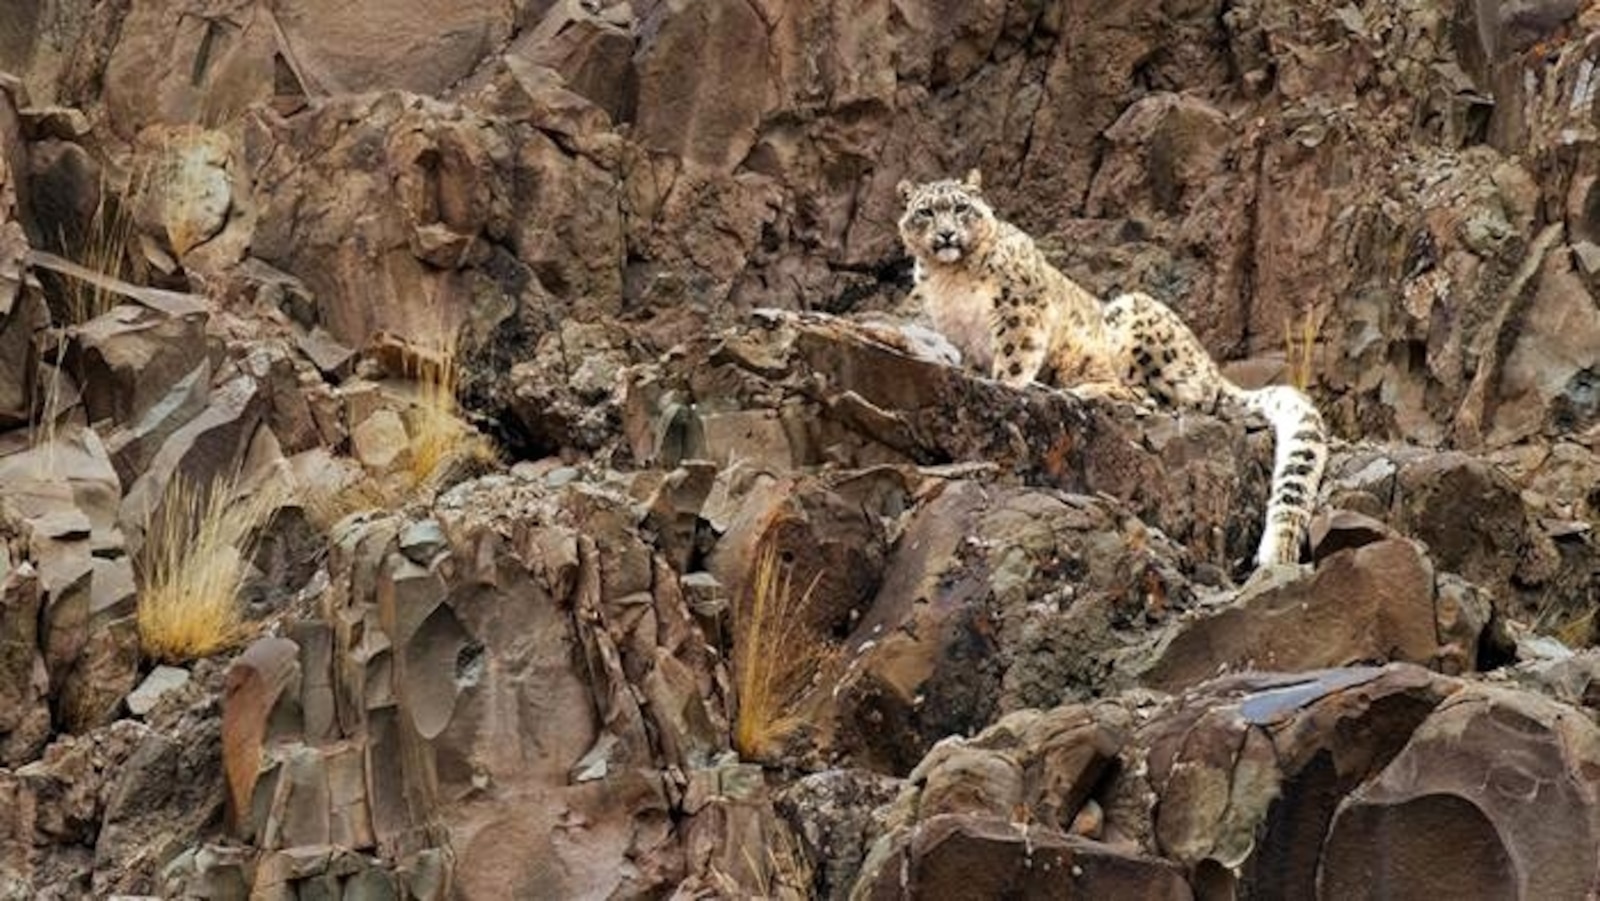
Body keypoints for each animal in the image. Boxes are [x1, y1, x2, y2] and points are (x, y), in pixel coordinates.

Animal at [896, 169, 1328, 568]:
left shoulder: (1019, 309)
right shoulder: (956, 335)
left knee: (1151, 397)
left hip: (1134, 320)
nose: (947, 235)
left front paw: (1007, 387)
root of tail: (1214, 370)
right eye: (926, 212)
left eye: (960, 208)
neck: (952, 280)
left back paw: (1075, 391)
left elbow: (1014, 361)